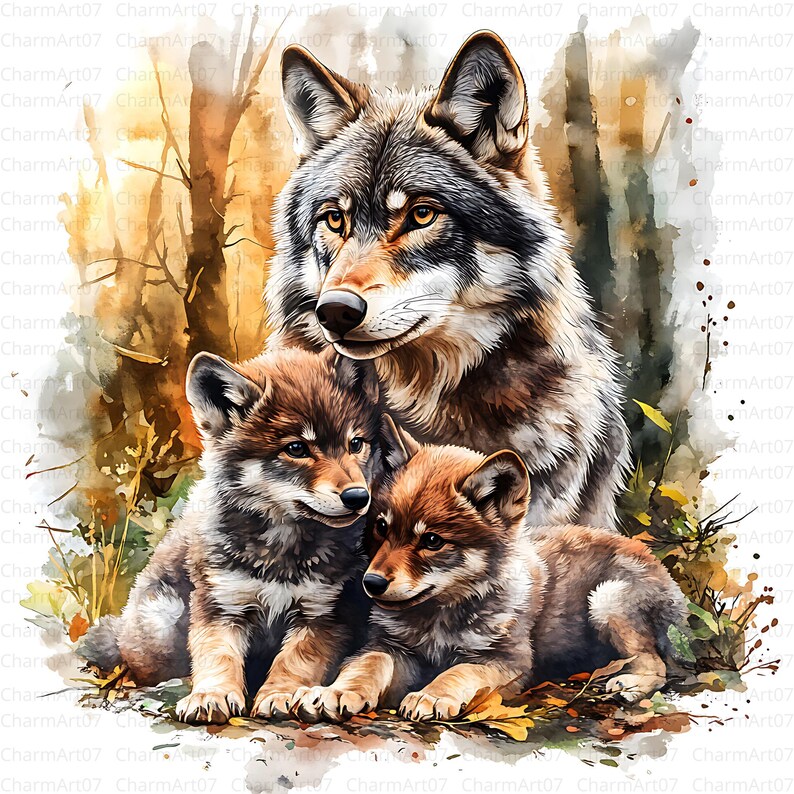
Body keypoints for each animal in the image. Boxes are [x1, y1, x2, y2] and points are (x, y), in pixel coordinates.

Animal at [80, 347, 383, 724]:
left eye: (355, 444)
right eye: (296, 449)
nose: (357, 497)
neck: (281, 549)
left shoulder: (322, 612)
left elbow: (294, 662)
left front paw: (280, 694)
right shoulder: (220, 604)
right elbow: (217, 655)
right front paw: (211, 695)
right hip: (161, 621)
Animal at [293, 421, 687, 723]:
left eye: (432, 541)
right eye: (381, 528)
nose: (371, 583)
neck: (441, 617)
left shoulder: (507, 662)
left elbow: (458, 671)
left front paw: (431, 696)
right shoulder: (389, 647)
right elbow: (365, 666)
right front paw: (332, 693)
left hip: (605, 600)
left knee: (657, 663)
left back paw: (629, 684)